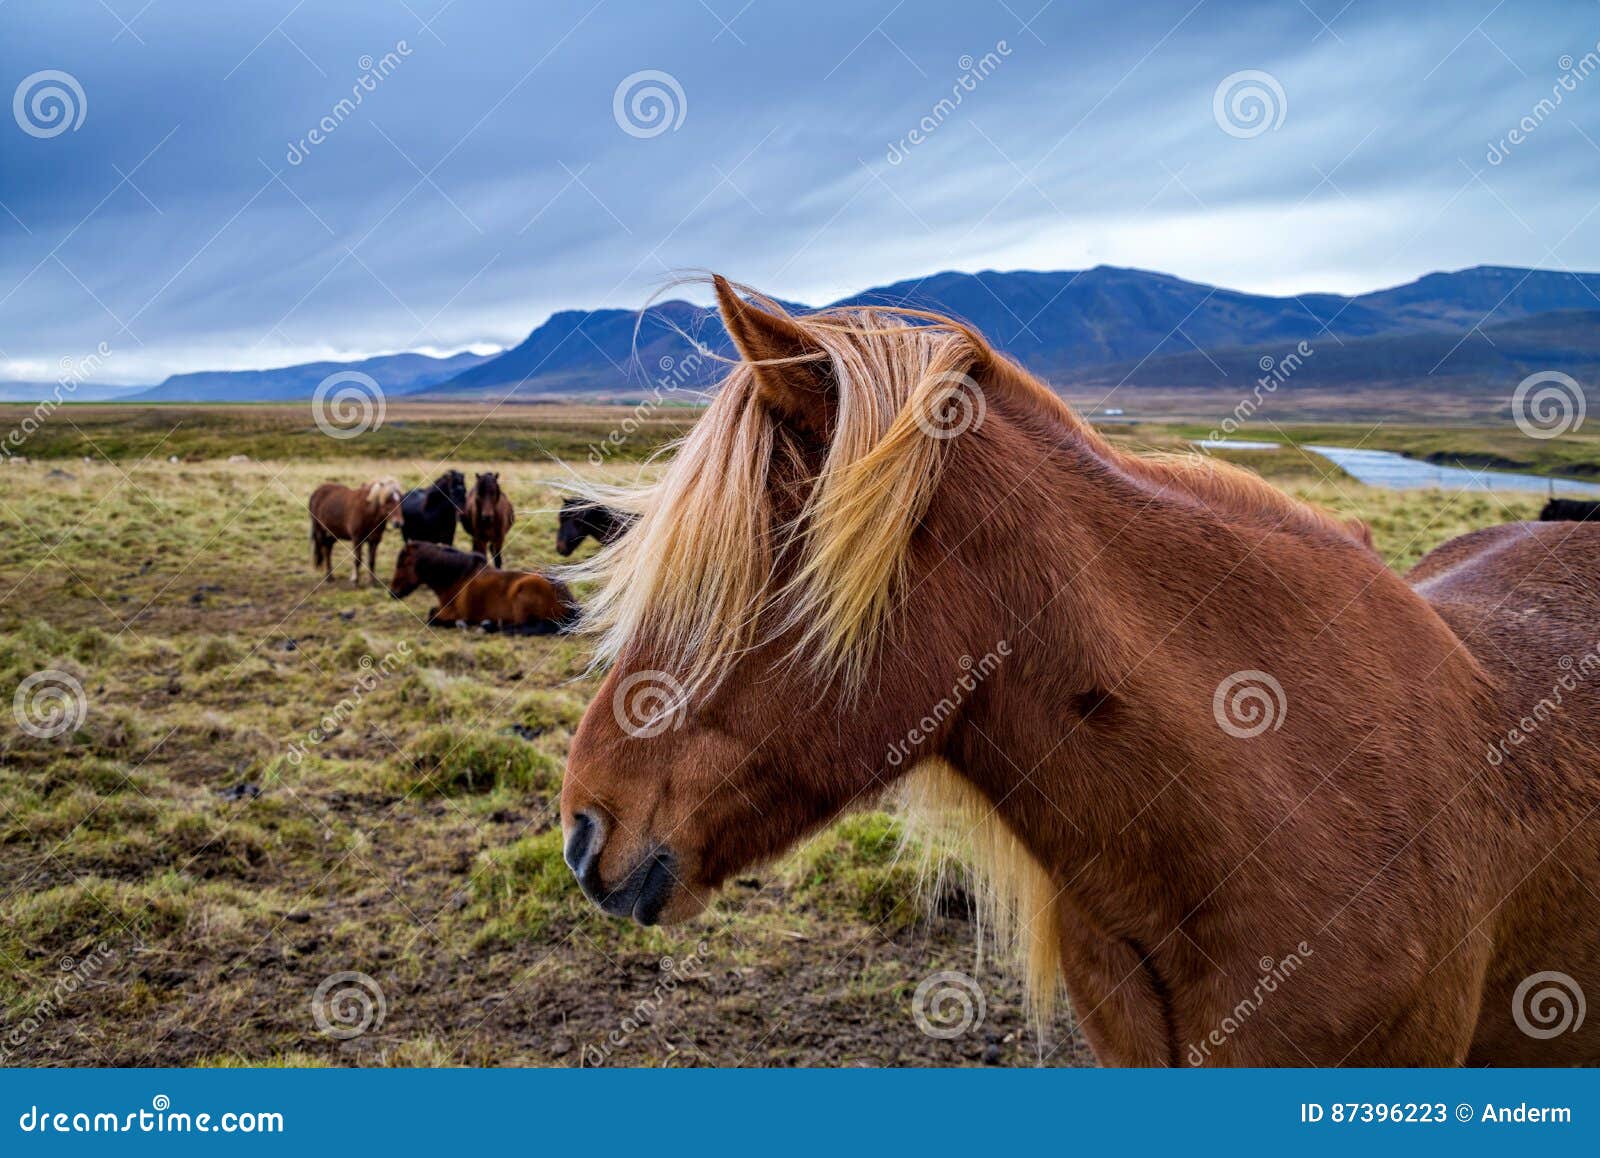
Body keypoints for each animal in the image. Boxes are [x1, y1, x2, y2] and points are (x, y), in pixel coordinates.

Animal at [389, 541, 577, 633]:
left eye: (402, 564)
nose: (392, 593)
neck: (458, 578)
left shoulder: (450, 613)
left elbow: (432, 618)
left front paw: (461, 624)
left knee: (521, 626)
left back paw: (488, 626)